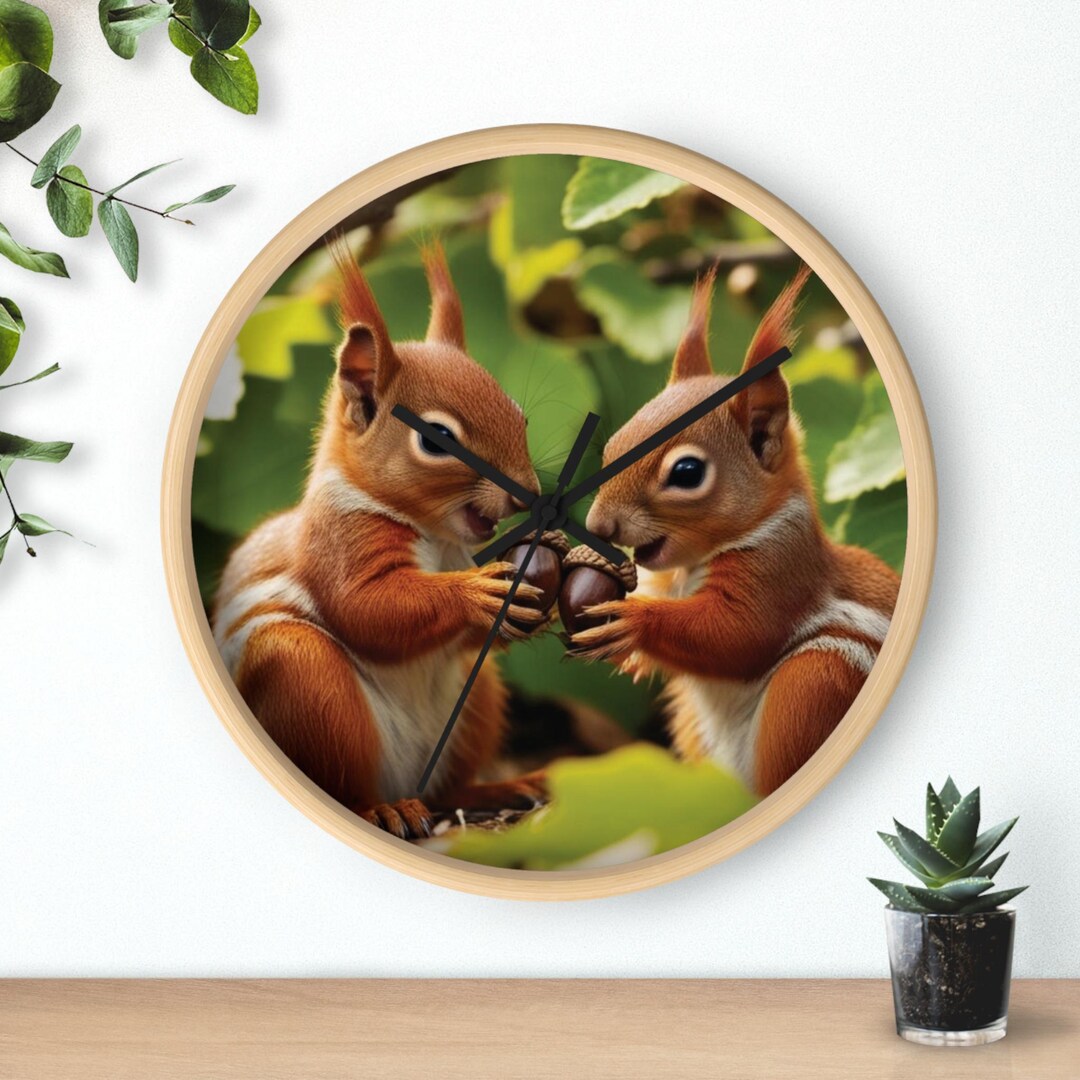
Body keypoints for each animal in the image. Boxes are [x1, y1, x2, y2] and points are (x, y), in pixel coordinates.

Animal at [211, 240, 547, 839]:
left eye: (520, 416)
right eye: (435, 439)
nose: (528, 495)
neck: (436, 540)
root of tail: (404, 783)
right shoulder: (337, 542)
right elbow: (368, 608)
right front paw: (478, 594)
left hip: (476, 700)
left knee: (447, 790)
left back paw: (503, 788)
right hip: (307, 681)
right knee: (347, 787)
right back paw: (382, 811)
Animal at [572, 265, 900, 796]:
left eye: (686, 473)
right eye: (614, 445)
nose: (598, 524)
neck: (689, 569)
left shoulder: (780, 576)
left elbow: (735, 635)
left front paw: (635, 623)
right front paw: (635, 654)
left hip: (814, 684)